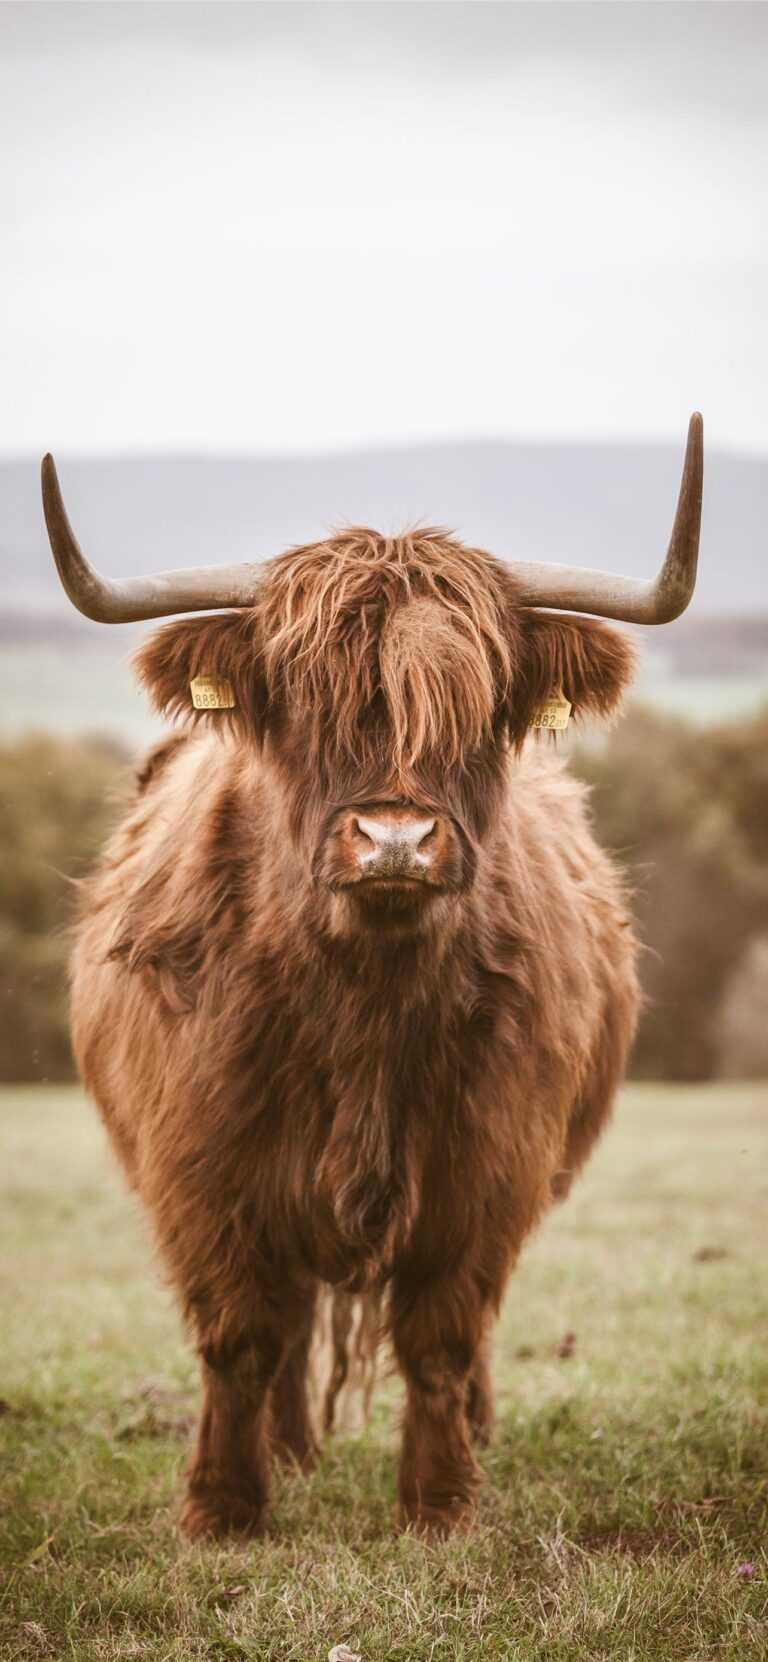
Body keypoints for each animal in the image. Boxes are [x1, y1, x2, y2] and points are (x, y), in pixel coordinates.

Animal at [40, 416, 703, 1539]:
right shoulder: (203, 1165)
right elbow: (241, 1337)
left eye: (477, 707)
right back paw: (290, 1451)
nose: (395, 837)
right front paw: (224, 1508)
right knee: (293, 1318)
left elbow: (442, 1334)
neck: (362, 1002)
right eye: (303, 703)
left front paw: (440, 1504)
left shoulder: (490, 1164)